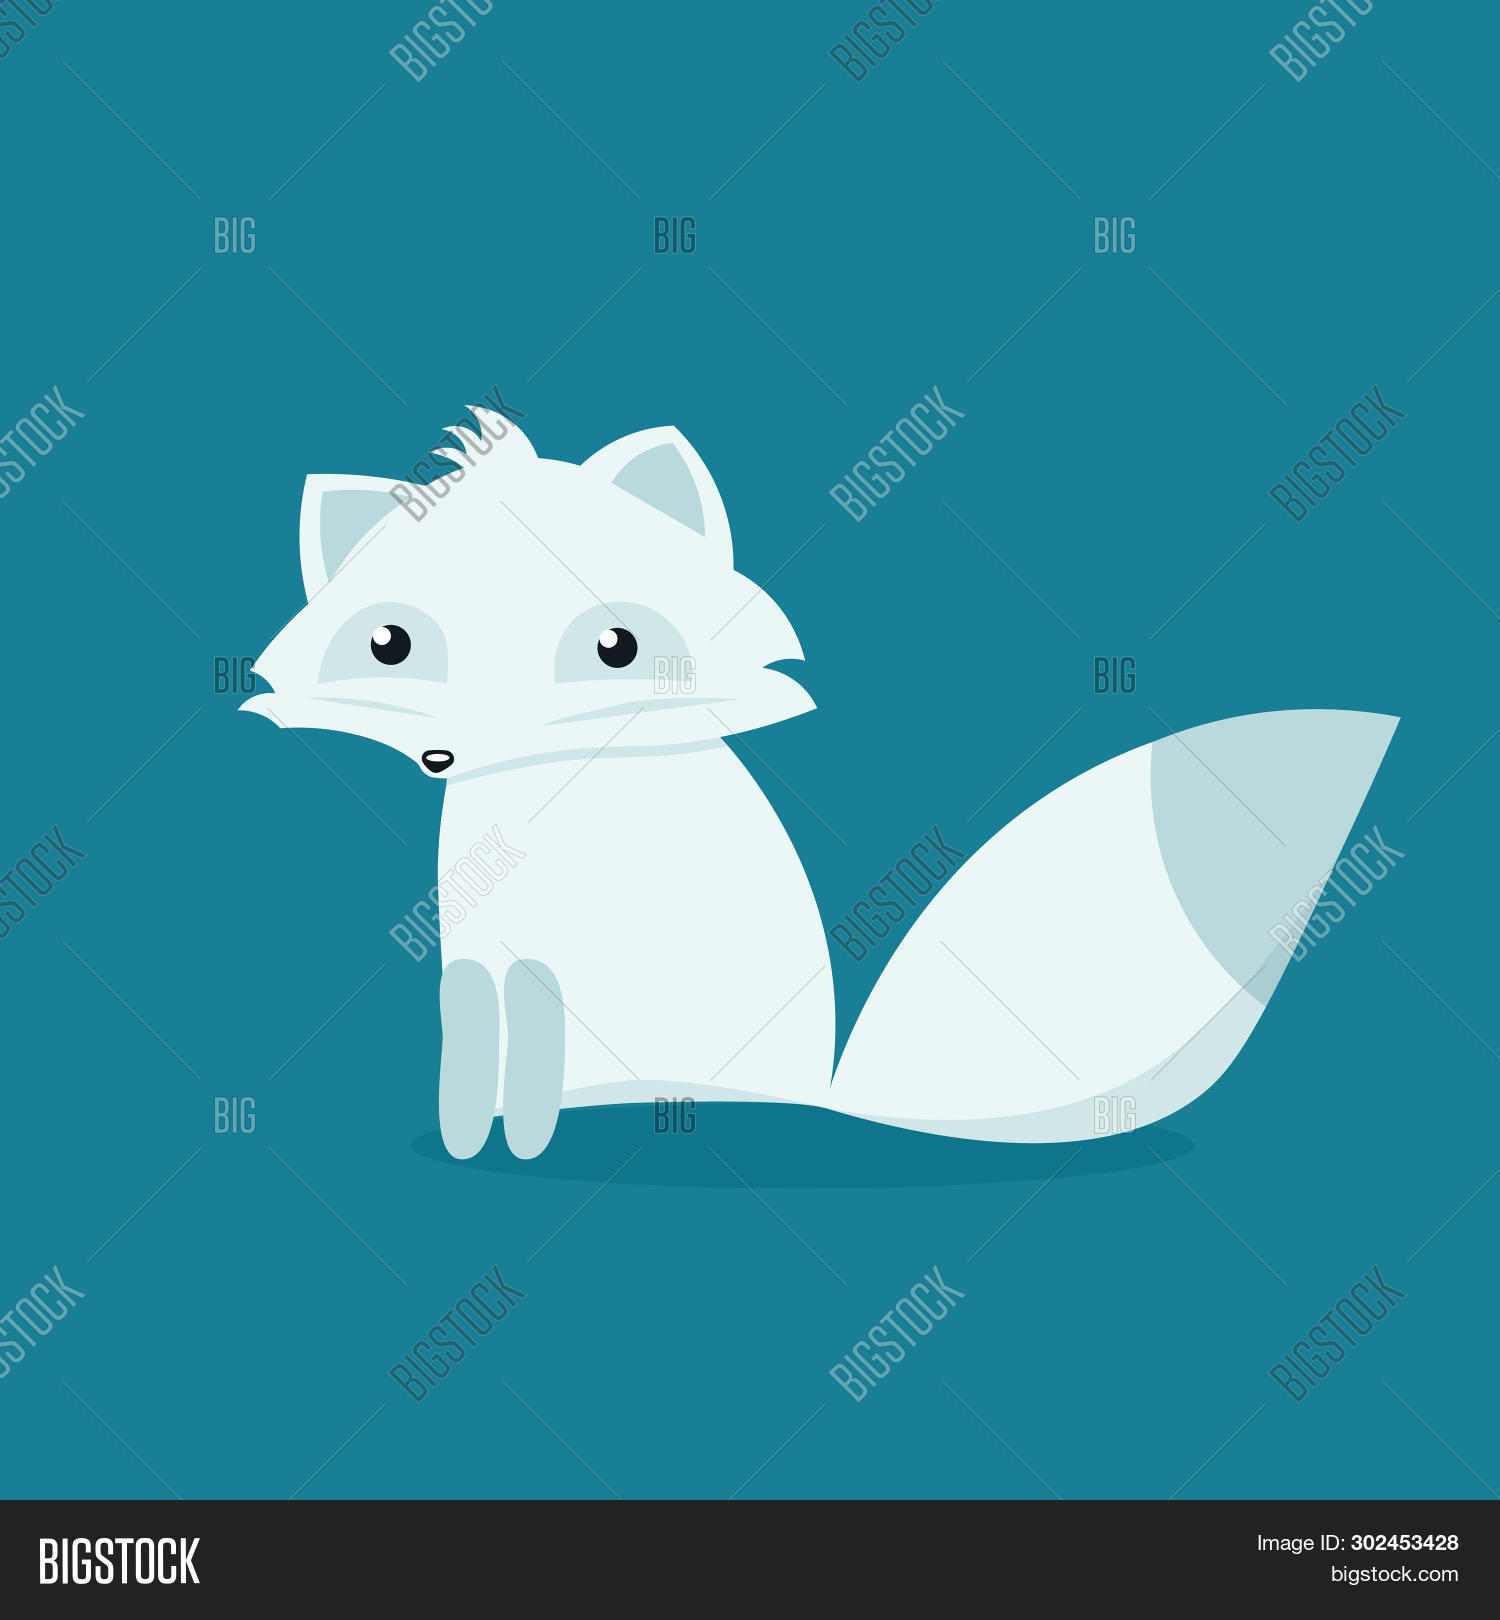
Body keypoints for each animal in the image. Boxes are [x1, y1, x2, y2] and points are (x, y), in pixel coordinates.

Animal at [244, 406, 1398, 1160]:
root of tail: (825, 1100)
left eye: (617, 647)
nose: (450, 753)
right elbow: (468, 1032)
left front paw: (521, 1130)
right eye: (389, 645)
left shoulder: (556, 970)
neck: (546, 810)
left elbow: (528, 1038)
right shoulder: (474, 959)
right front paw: (468, 1124)